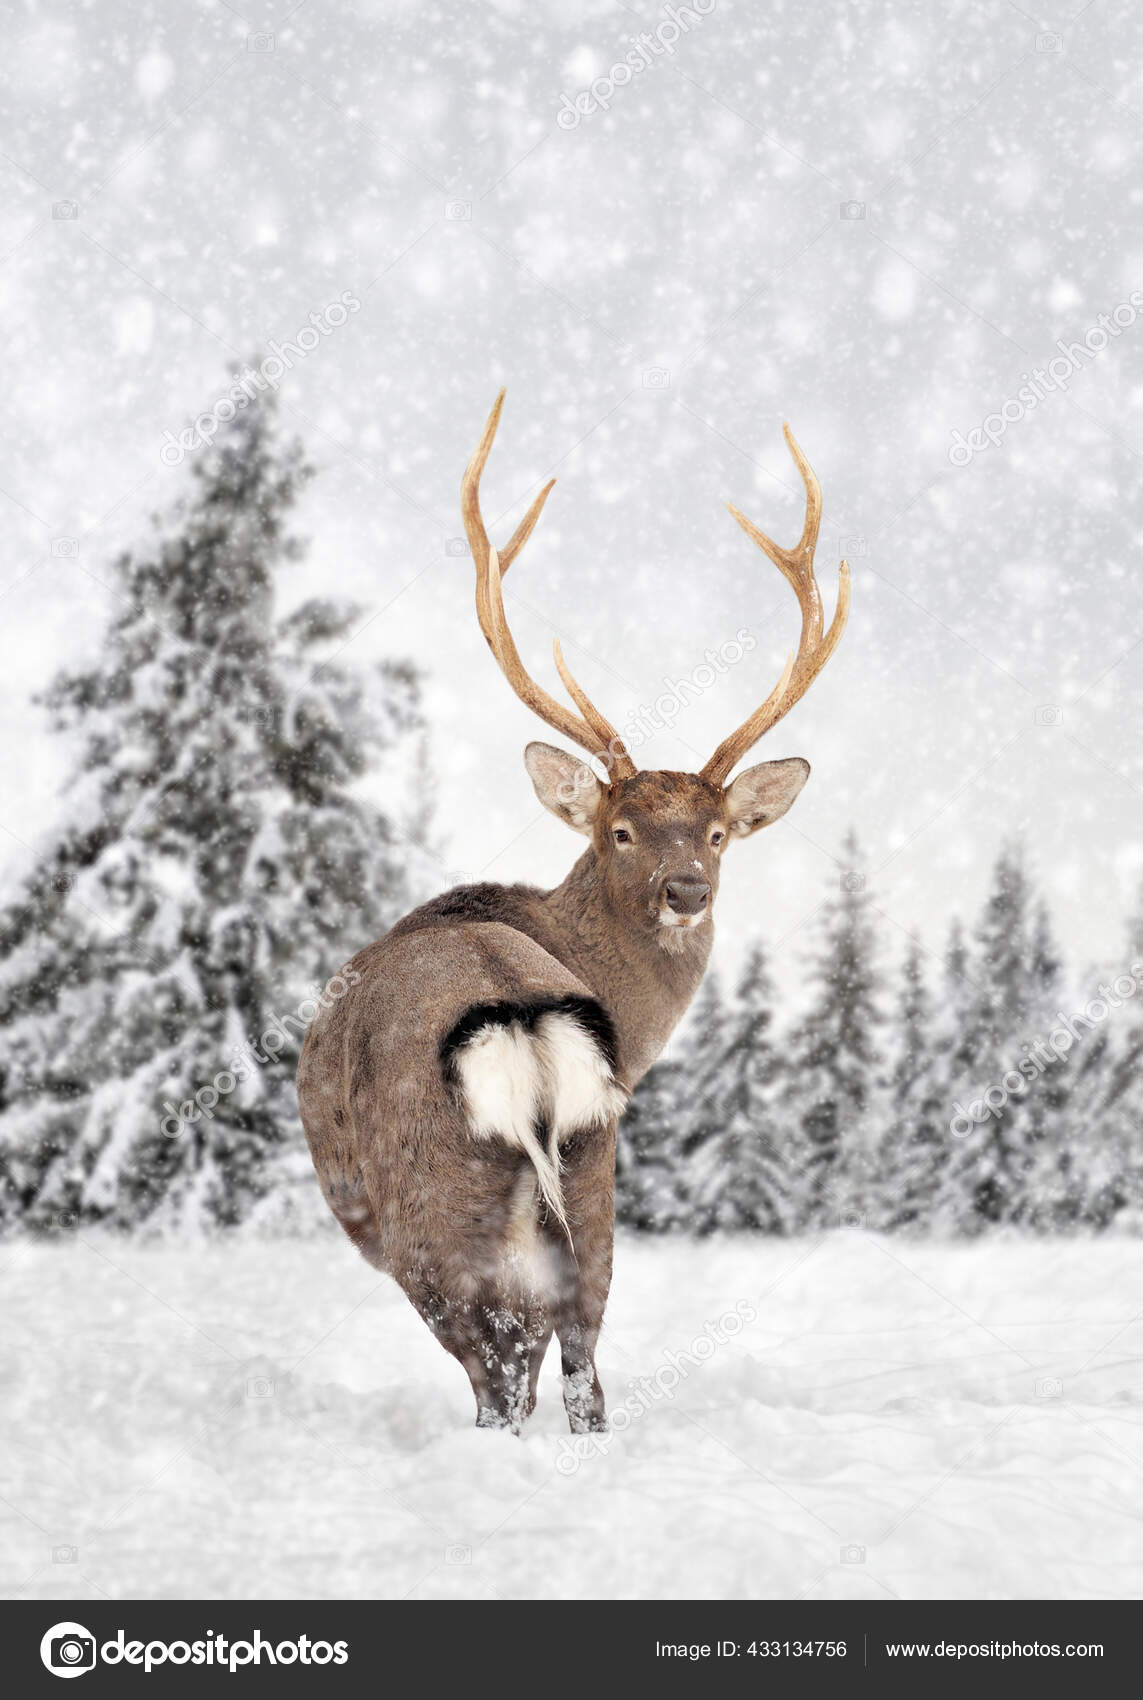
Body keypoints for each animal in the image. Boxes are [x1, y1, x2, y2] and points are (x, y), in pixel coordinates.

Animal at [297, 391, 849, 1434]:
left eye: (718, 833)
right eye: (622, 830)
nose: (687, 890)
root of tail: (521, 1022)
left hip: (431, 1195)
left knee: (500, 1372)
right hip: (594, 1169)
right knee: (584, 1359)